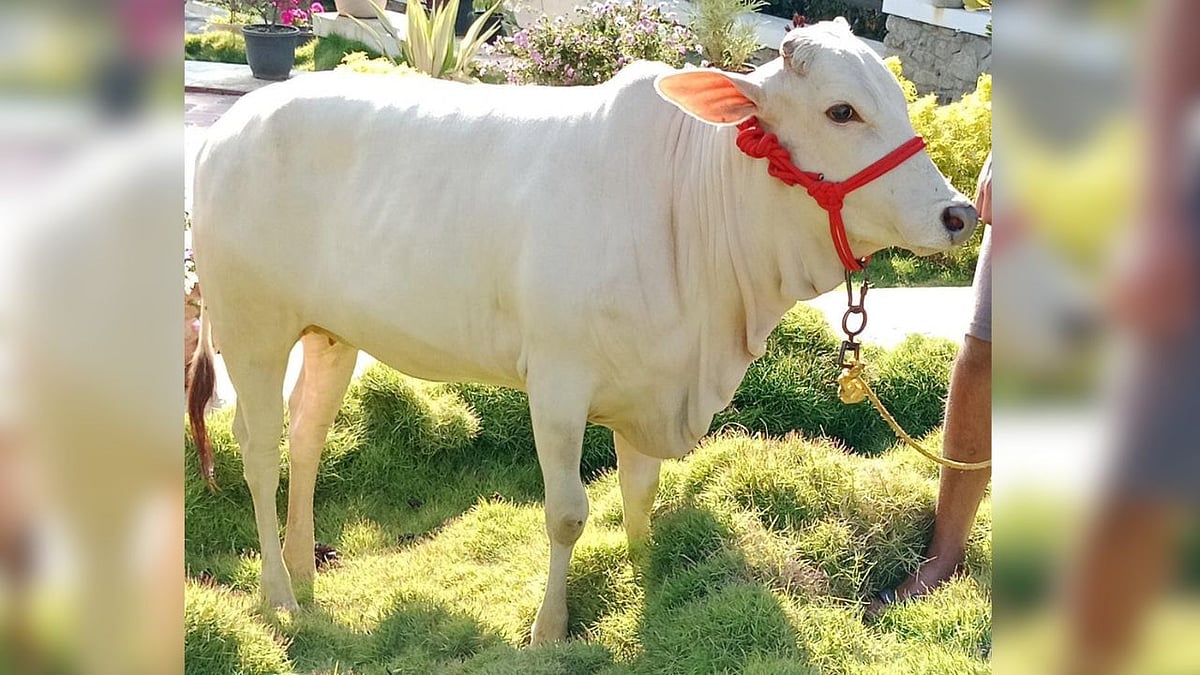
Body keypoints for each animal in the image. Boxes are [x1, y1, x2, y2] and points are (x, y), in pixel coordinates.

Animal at [188, 19, 977, 644]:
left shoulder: (651, 384)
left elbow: (640, 493)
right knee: (257, 450)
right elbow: (568, 514)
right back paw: (281, 598)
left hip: (331, 334)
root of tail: (231, 126)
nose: (960, 213)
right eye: (842, 110)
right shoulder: (558, 385)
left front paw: (648, 577)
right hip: (251, 329)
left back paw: (302, 571)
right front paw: (549, 628)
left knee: (306, 436)